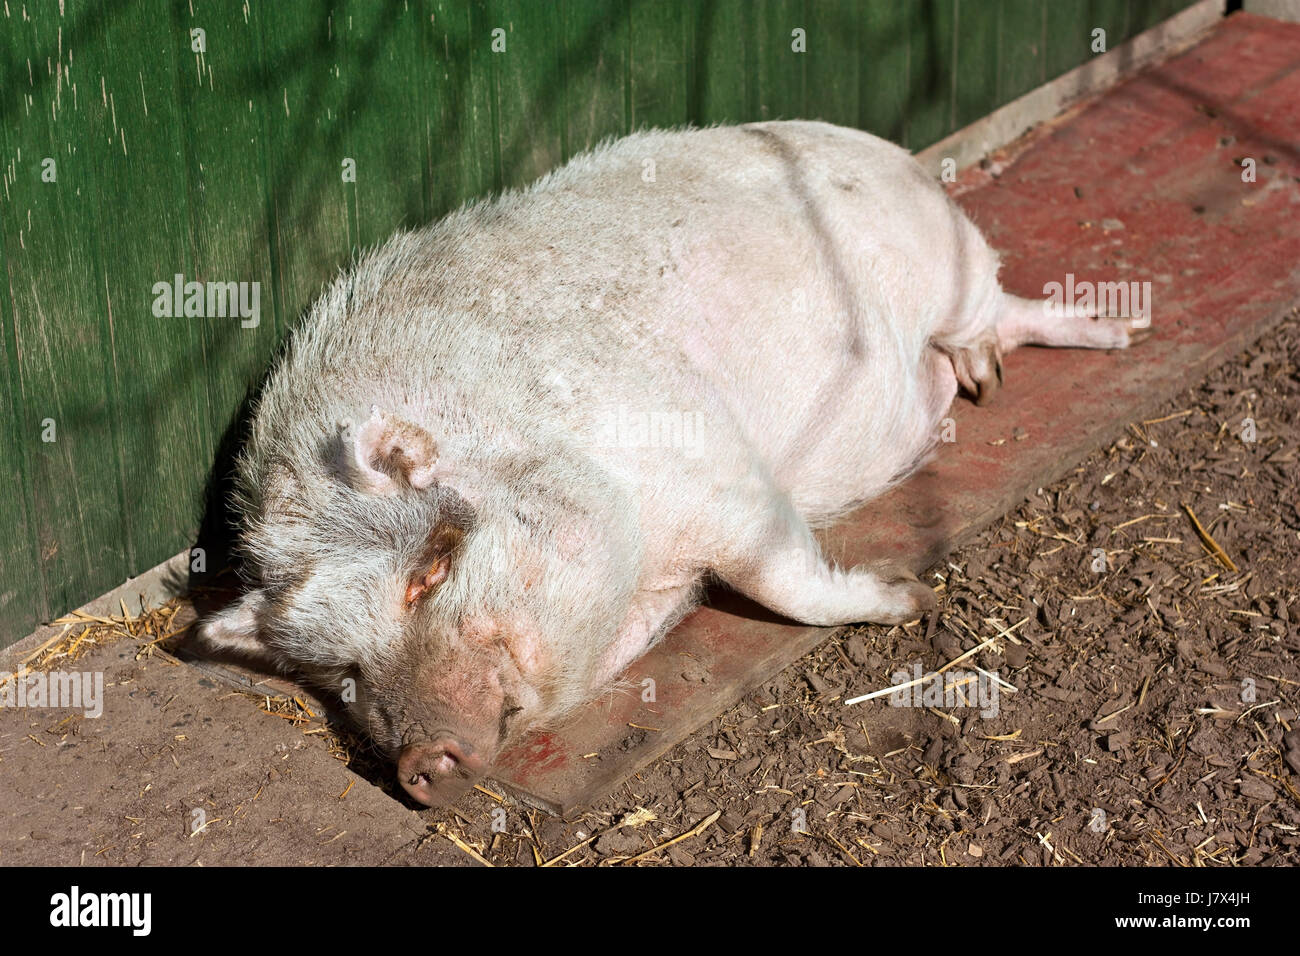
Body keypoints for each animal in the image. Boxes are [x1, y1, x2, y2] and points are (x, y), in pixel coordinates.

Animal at [200, 121, 1144, 805]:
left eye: (431, 570)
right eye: (342, 675)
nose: (419, 763)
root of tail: (876, 145)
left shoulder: (721, 474)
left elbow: (783, 581)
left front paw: (913, 598)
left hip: (952, 263)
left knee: (1000, 303)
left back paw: (1104, 338)